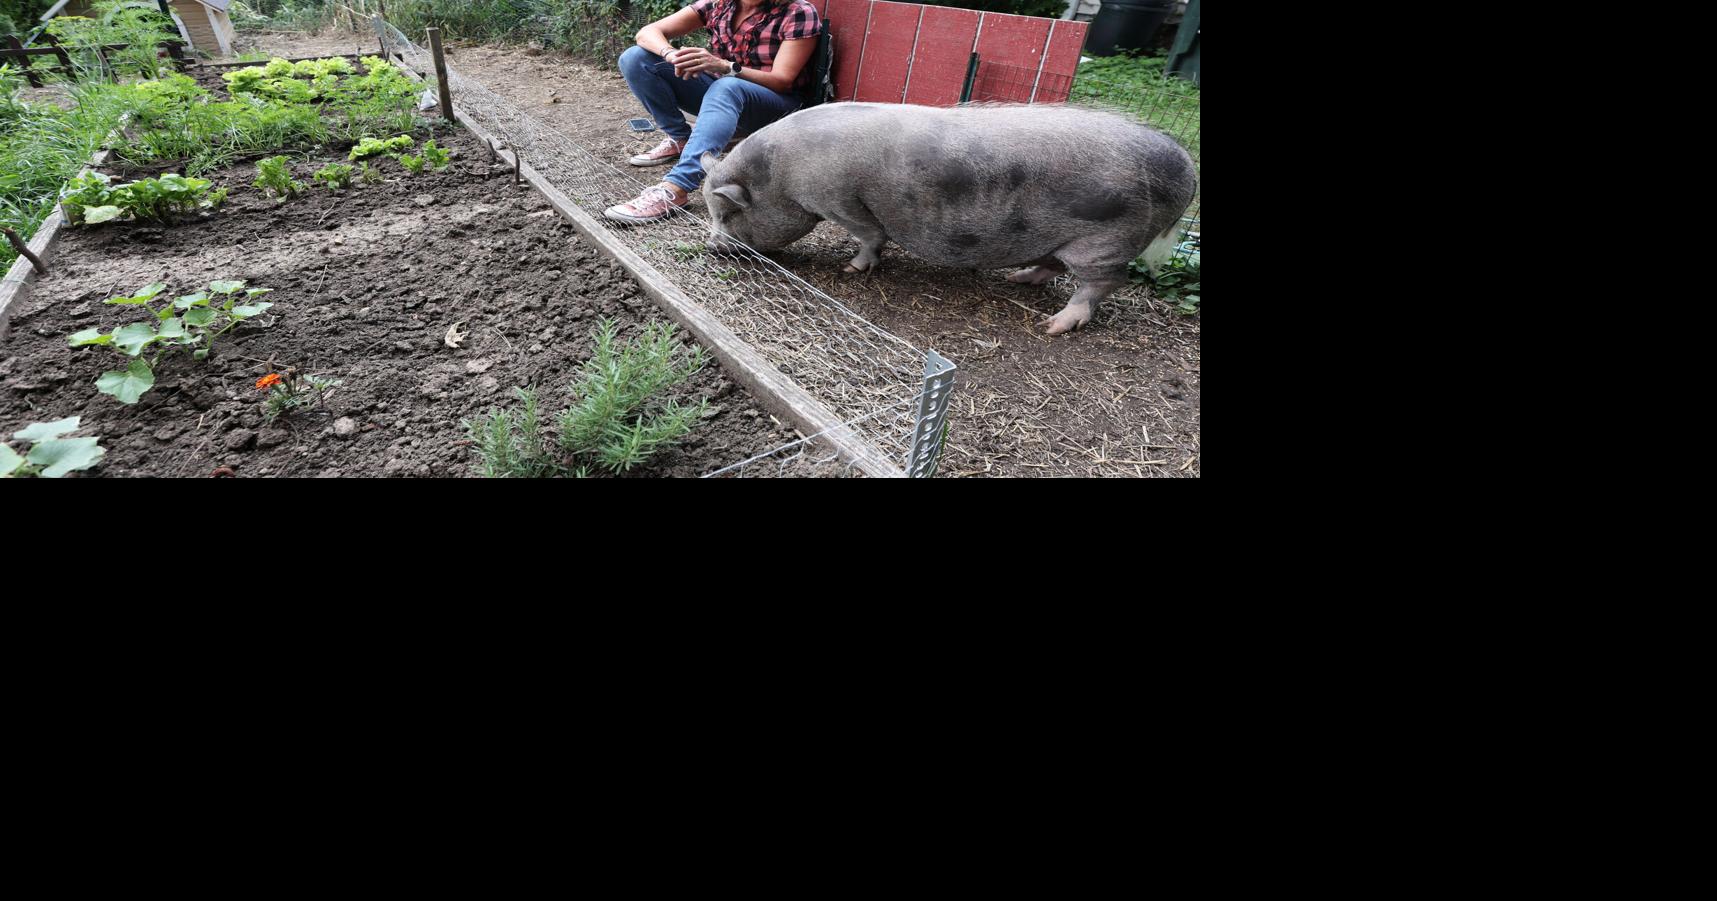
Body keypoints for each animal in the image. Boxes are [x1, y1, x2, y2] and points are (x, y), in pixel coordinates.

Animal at [699, 102, 1197, 335]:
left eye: (726, 212)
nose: (711, 247)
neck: (779, 176)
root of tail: (1185, 167)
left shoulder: (840, 201)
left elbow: (869, 236)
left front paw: (851, 270)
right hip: (1065, 239)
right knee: (1053, 264)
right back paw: (1019, 278)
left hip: (1106, 240)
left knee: (1105, 282)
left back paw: (1053, 326)